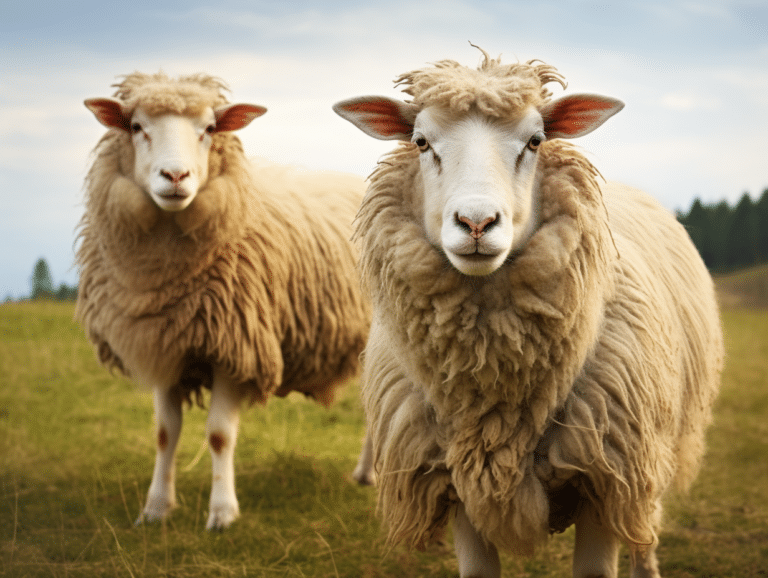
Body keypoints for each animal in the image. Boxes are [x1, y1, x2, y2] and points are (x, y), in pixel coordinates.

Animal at [77, 72, 370, 530]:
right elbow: (164, 433)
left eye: (210, 129)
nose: (175, 175)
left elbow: (218, 434)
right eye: (137, 127)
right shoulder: (164, 344)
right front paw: (155, 508)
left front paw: (222, 512)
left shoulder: (237, 346)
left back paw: (372, 472)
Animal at [333, 48, 723, 578]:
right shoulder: (458, 483)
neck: (494, 401)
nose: (477, 223)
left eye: (536, 141)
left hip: (648, 454)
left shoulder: (604, 475)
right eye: (420, 142)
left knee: (644, 532)